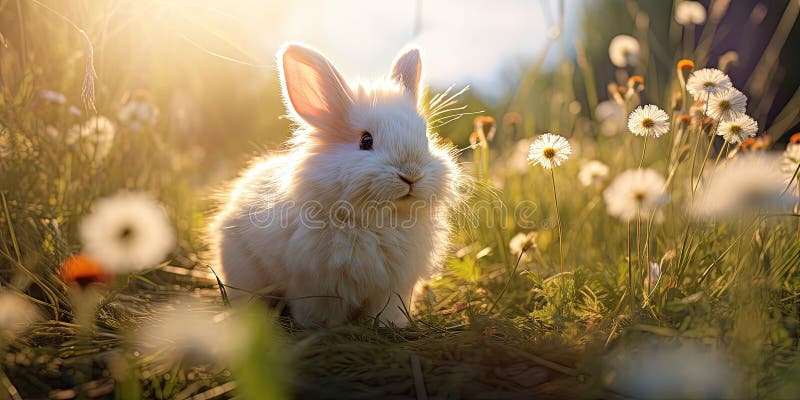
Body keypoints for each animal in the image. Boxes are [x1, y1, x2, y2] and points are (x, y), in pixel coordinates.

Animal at [208, 43, 462, 327]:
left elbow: (387, 310)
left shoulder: (393, 286)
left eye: (425, 138)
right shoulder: (316, 285)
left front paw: (389, 325)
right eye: (365, 141)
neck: (379, 220)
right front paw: (322, 328)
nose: (411, 175)